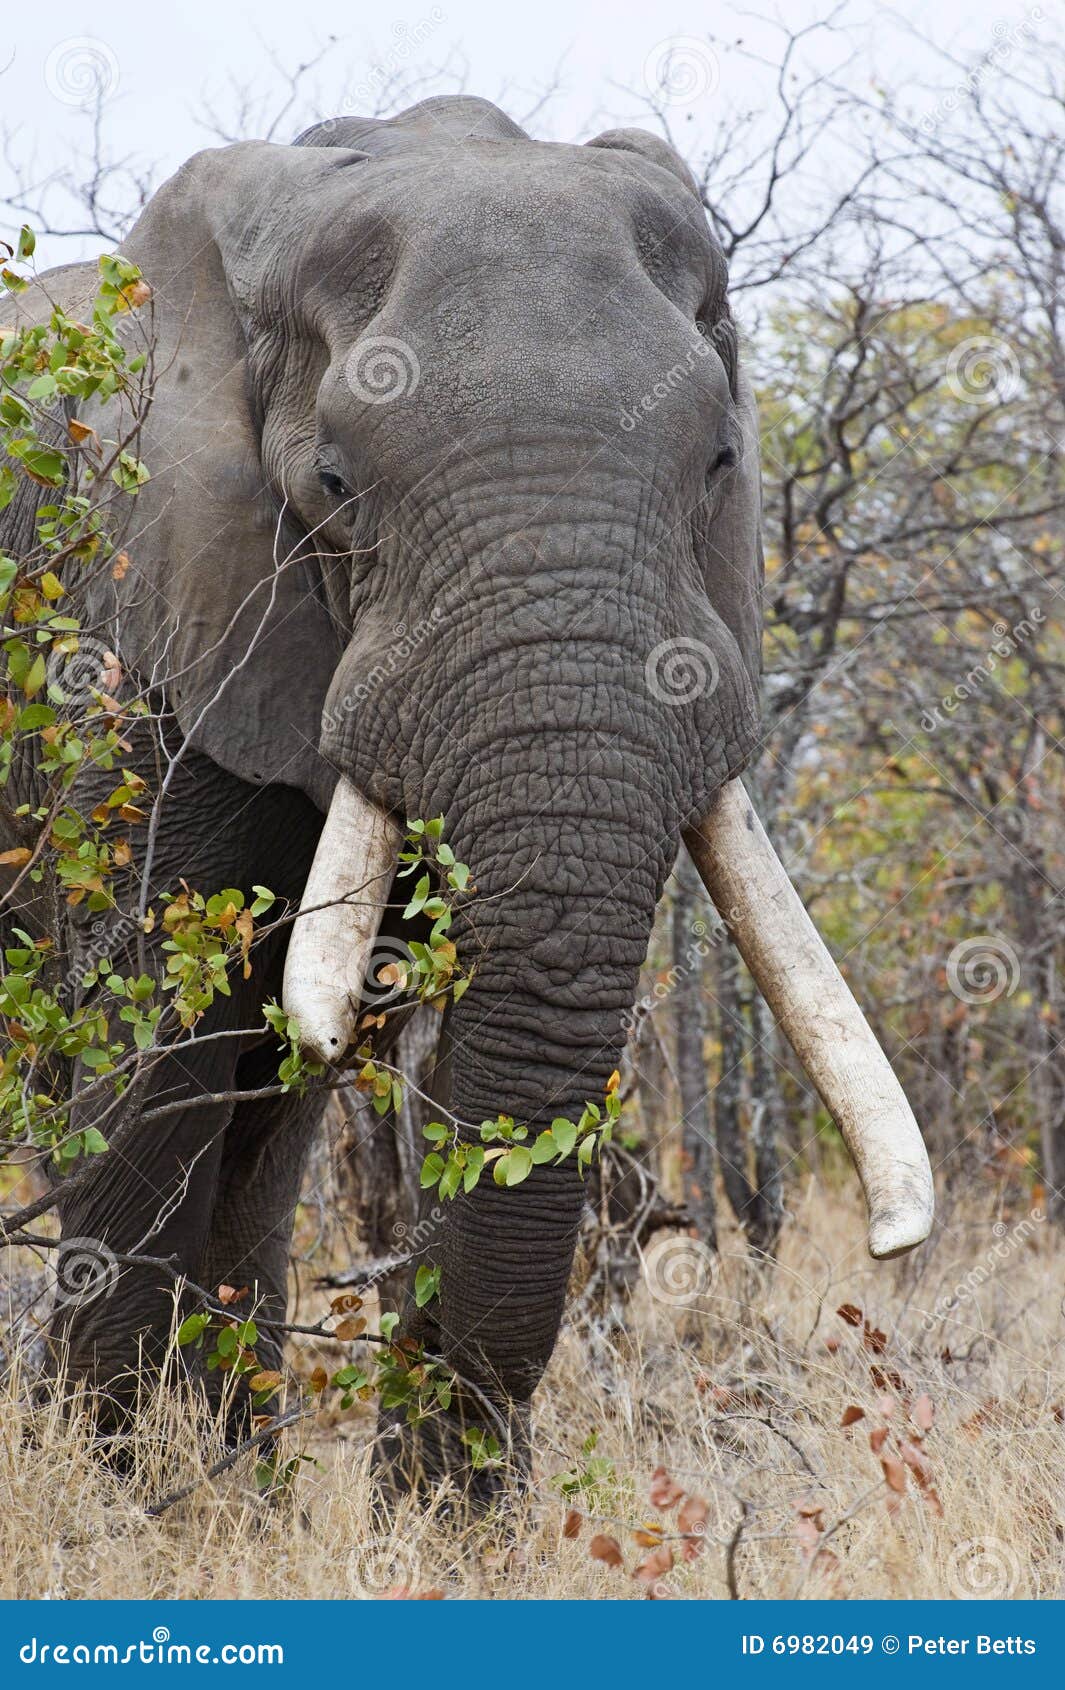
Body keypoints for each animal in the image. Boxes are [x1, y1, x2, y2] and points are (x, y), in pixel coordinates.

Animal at [1, 95, 933, 1497]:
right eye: (334, 485)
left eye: (722, 458)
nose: (450, 1507)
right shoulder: (130, 644)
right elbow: (151, 1040)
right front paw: (116, 1492)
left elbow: (377, 1041)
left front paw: (328, 1518)